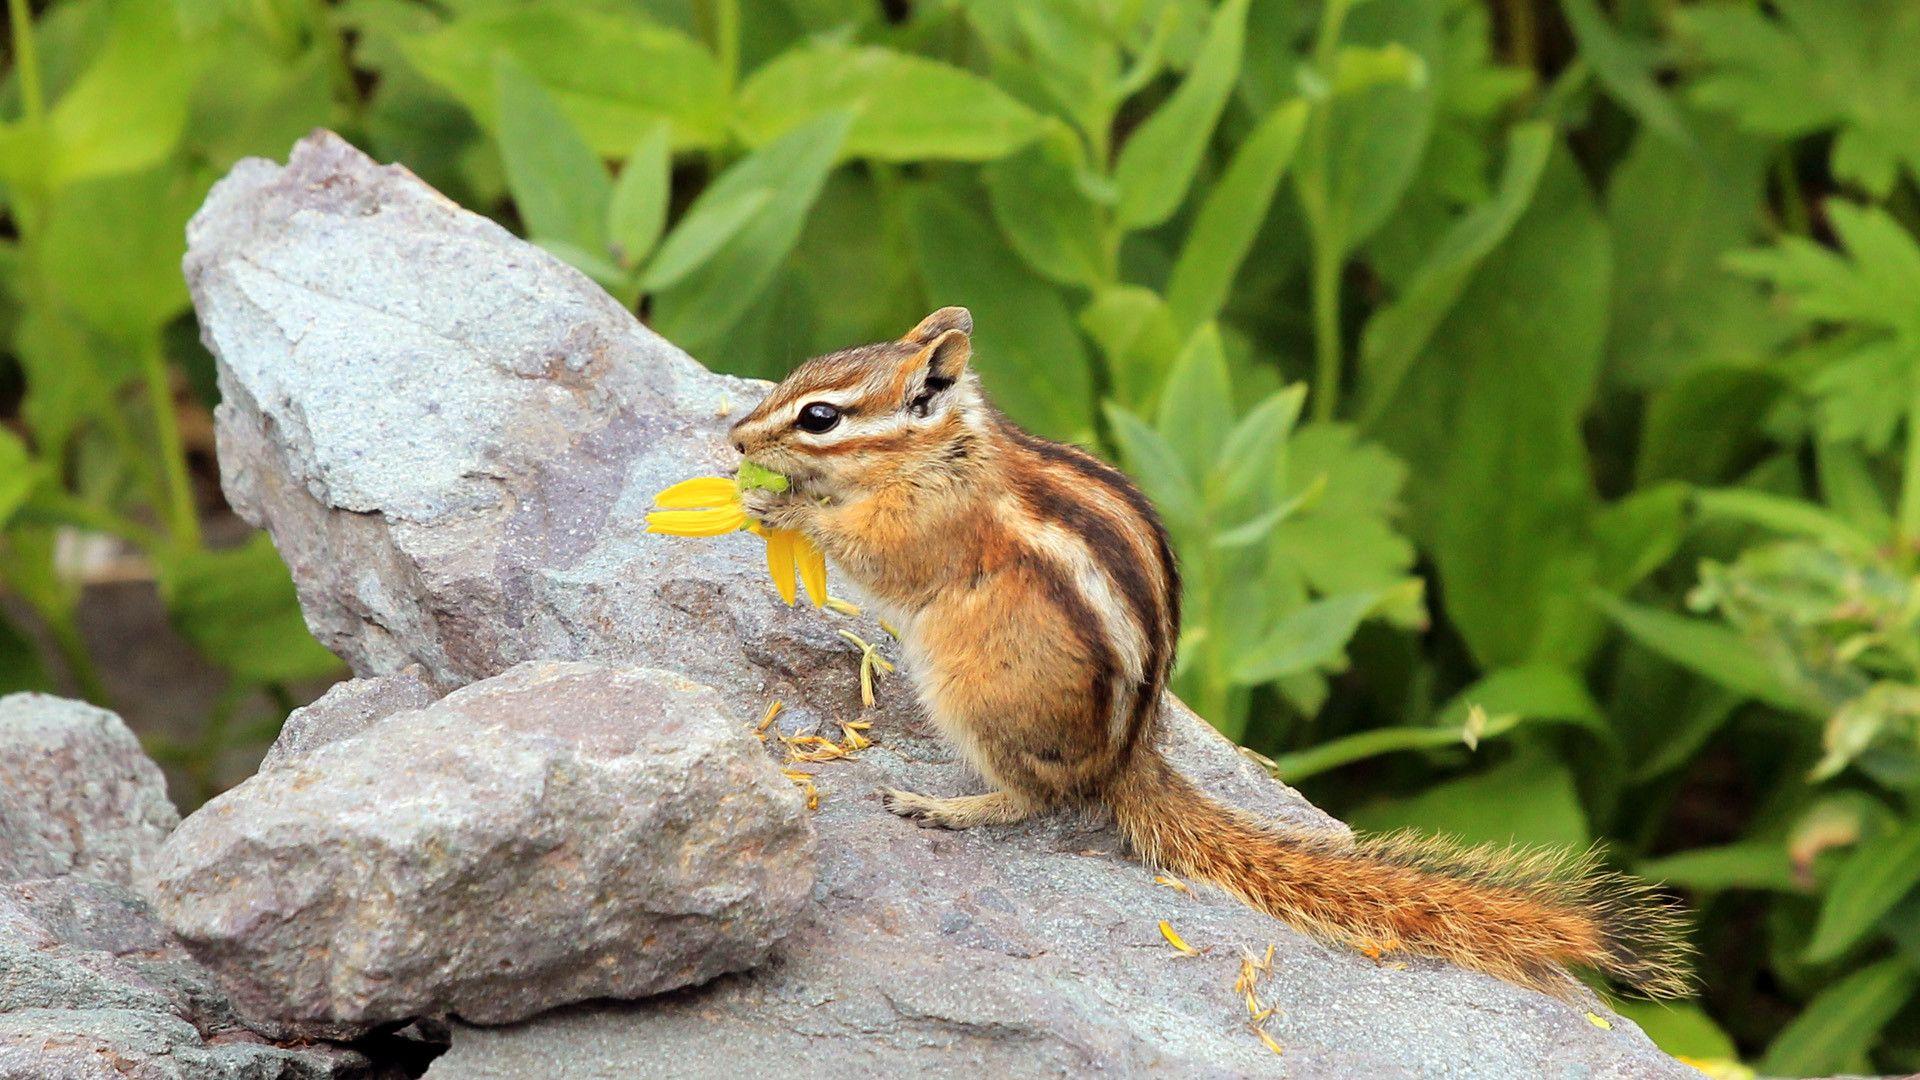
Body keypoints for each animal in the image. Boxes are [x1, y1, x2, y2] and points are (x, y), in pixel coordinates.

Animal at [730, 306, 1691, 999]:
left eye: (820, 416)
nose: (737, 438)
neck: (945, 449)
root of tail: (1125, 760)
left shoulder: (927, 525)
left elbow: (873, 555)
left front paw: (782, 504)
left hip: (972, 690)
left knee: (1038, 798)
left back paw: (947, 806)